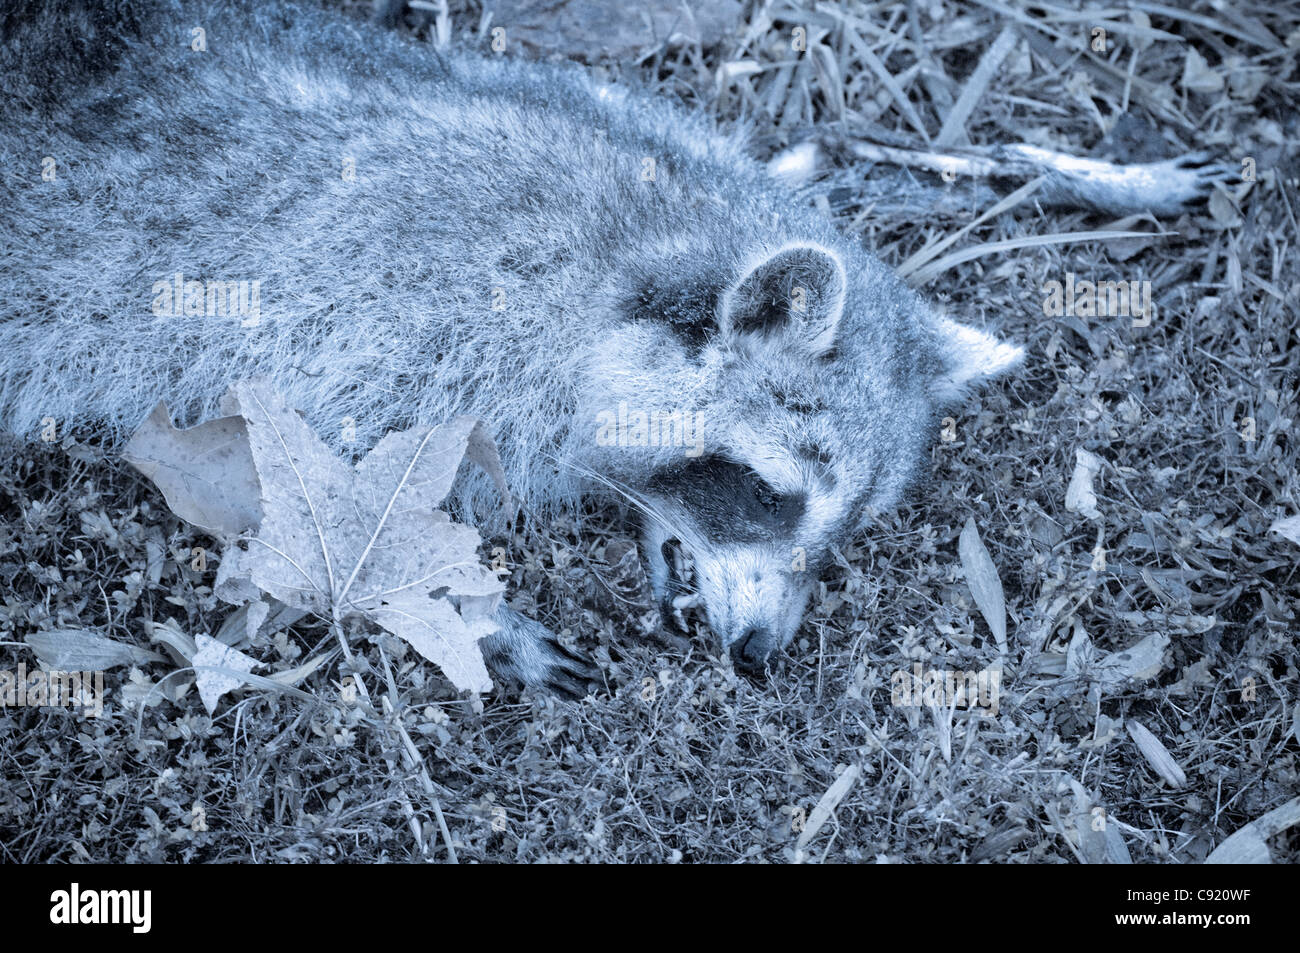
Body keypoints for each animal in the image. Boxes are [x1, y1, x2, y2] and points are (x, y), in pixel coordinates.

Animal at [0, 0, 1022, 695]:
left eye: (847, 529)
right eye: (772, 495)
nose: (761, 656)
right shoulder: (371, 313)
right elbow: (308, 491)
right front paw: (476, 614)